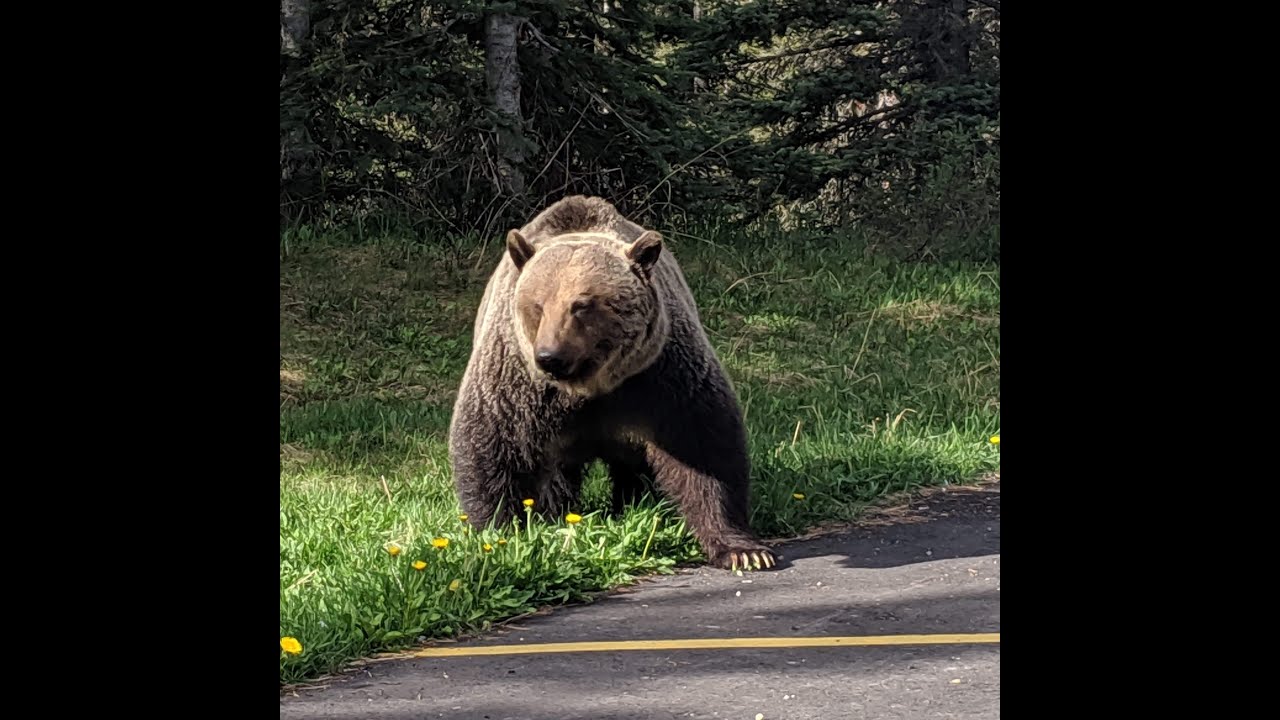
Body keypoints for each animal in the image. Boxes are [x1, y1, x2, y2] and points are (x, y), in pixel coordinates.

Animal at [448, 196, 776, 571]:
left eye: (581, 305)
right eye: (537, 304)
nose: (549, 356)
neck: (589, 387)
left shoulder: (659, 377)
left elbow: (704, 447)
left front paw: (745, 551)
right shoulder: (519, 383)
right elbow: (493, 444)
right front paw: (499, 532)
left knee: (634, 470)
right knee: (556, 476)